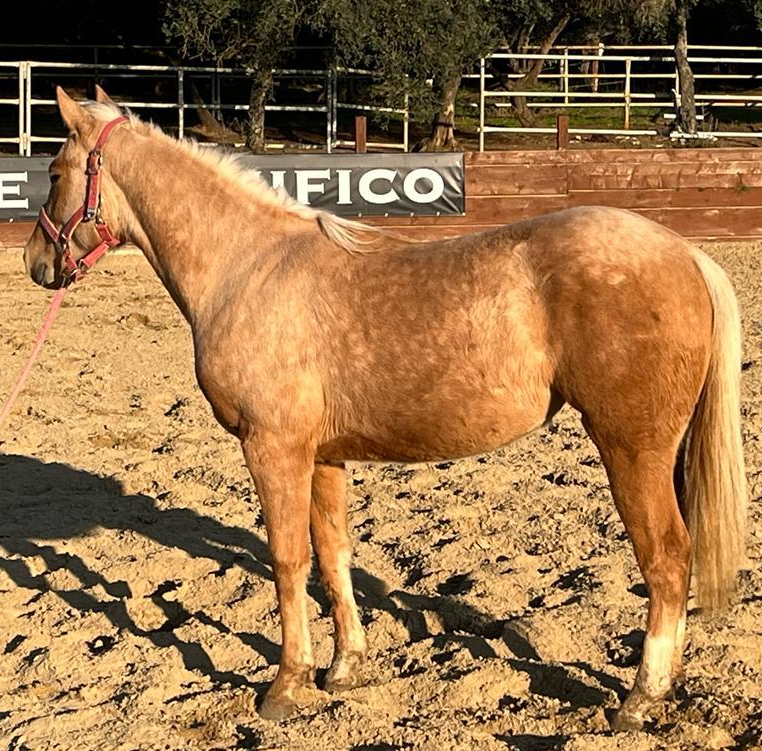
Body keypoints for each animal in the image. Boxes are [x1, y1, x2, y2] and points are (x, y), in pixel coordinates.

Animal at [23, 86, 746, 731]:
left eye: (54, 172)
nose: (34, 263)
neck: (248, 266)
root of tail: (686, 252)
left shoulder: (272, 448)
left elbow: (286, 561)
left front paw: (285, 686)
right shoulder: (322, 457)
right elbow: (332, 554)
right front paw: (344, 667)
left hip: (632, 448)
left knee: (667, 558)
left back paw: (640, 699)